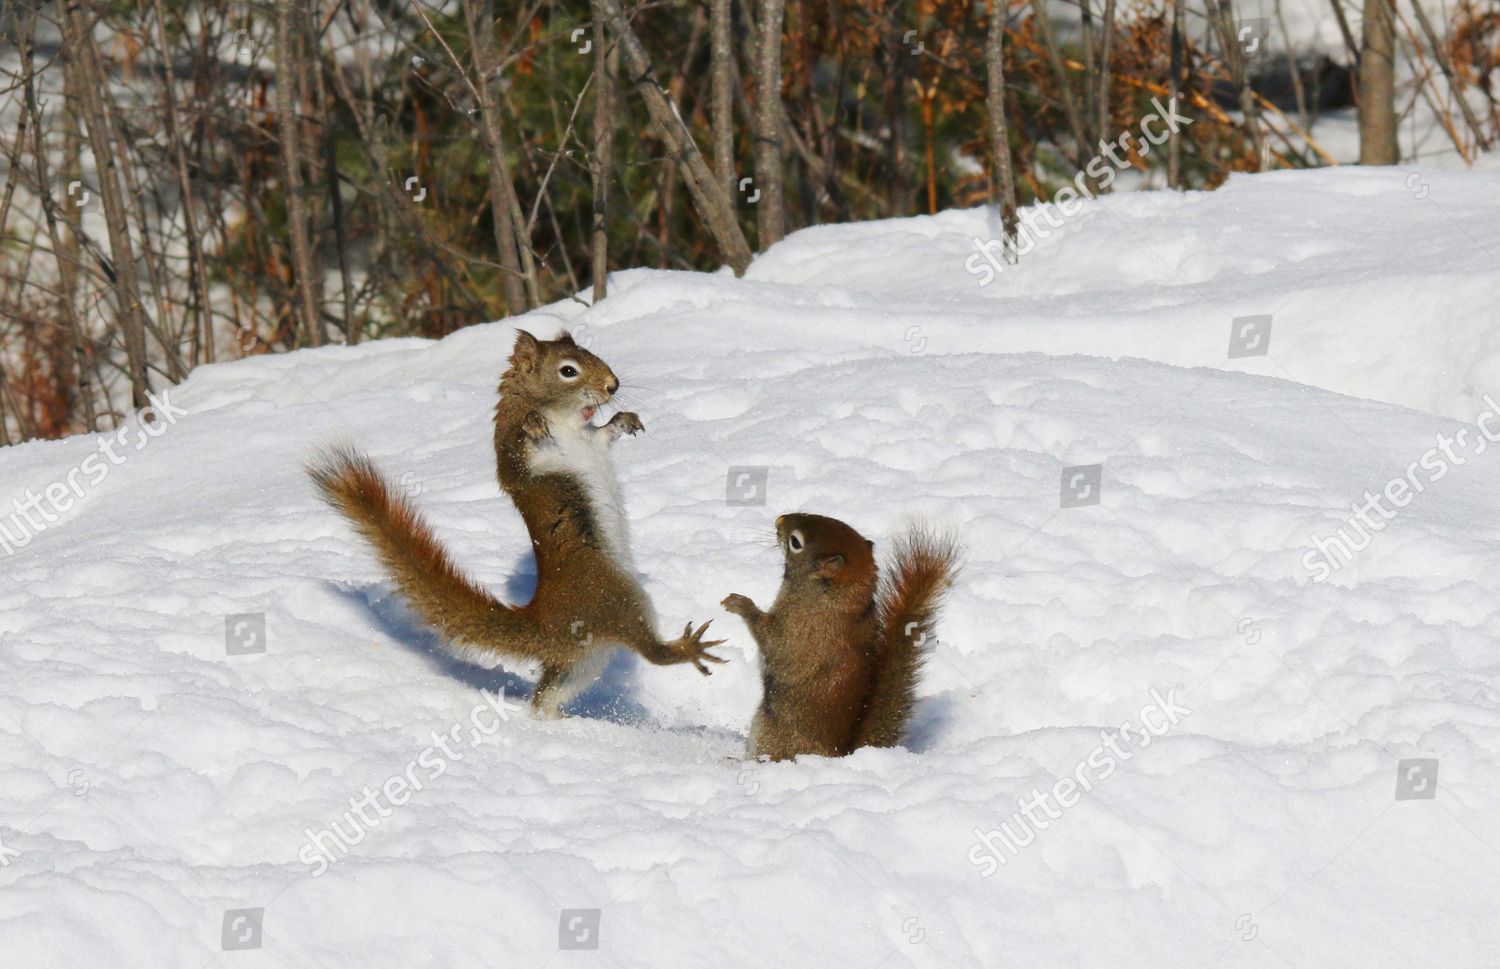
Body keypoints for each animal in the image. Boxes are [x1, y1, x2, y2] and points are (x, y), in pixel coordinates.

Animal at [308, 329, 725, 718]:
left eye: (591, 353)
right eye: (568, 371)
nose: (613, 385)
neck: (568, 422)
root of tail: (546, 623)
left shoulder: (594, 440)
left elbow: (606, 433)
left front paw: (625, 419)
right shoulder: (515, 462)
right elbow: (516, 452)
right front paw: (533, 421)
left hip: (583, 660)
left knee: (546, 695)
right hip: (615, 596)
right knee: (649, 651)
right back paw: (687, 648)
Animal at [721, 513, 958, 761]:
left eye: (795, 542)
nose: (779, 520)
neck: (835, 594)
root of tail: (842, 753)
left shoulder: (801, 629)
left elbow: (773, 643)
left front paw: (741, 604)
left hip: (768, 731)